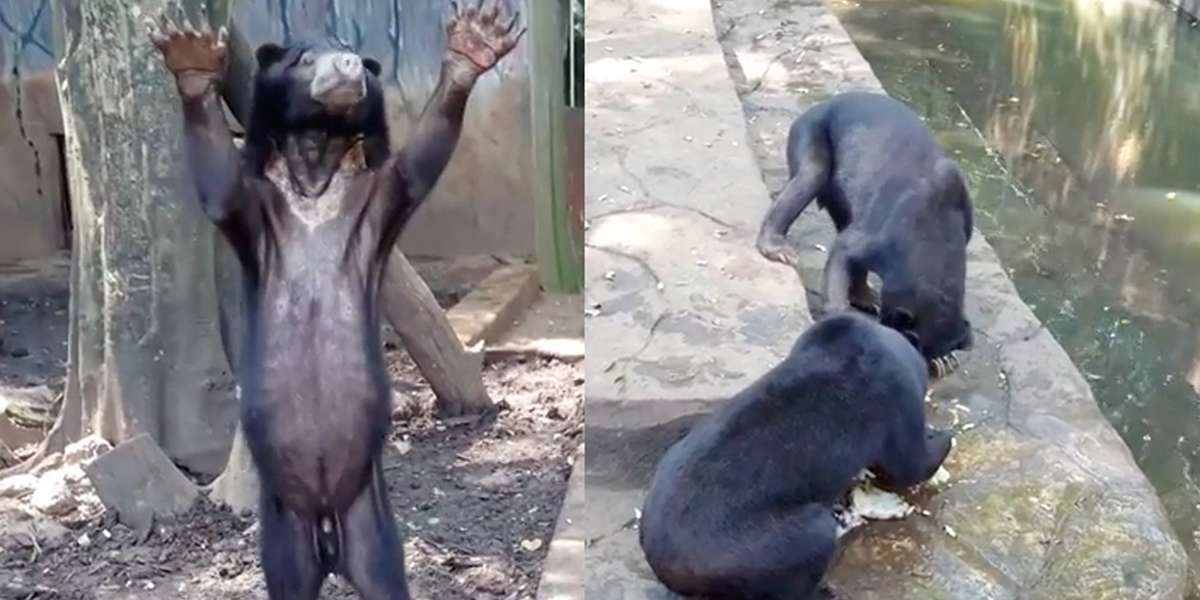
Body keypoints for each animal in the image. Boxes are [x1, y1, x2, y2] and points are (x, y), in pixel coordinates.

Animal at [144, 2, 524, 598]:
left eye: (353, 53)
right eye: (303, 58)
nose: (348, 65)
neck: (317, 175)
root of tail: (326, 528)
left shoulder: (377, 199)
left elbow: (420, 161)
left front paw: (474, 43)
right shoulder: (259, 211)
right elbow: (221, 187)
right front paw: (192, 56)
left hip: (372, 519)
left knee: (386, 575)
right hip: (281, 527)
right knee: (287, 578)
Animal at [639, 310, 953, 600]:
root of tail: (664, 565)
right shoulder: (895, 399)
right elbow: (909, 463)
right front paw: (943, 437)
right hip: (761, 546)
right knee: (809, 548)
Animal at [755, 91, 975, 377]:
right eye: (910, 338)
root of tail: (825, 103)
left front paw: (946, 361)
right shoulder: (884, 234)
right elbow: (843, 251)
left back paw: (868, 299)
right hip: (811, 133)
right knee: (810, 174)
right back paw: (779, 250)